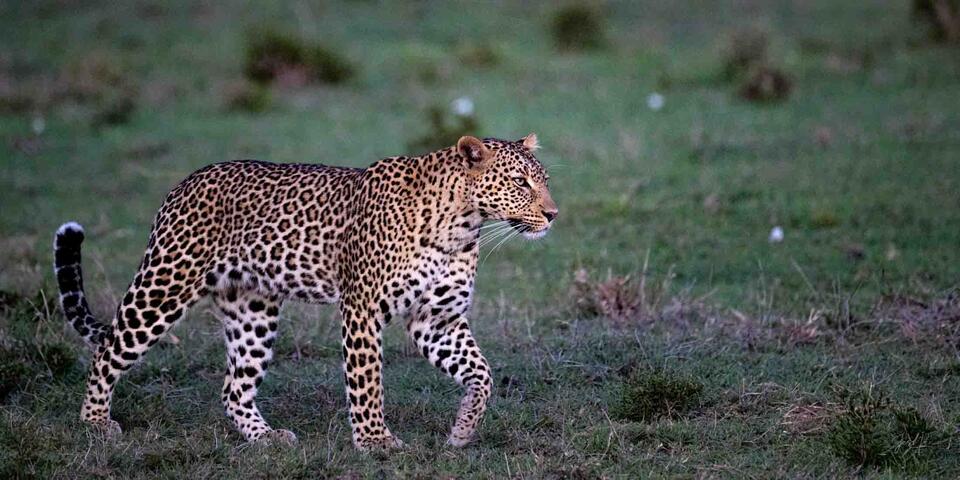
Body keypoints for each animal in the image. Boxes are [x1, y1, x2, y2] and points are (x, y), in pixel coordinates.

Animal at [53, 134, 557, 450]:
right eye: (520, 182)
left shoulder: (438, 319)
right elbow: (367, 381)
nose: (553, 214)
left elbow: (482, 373)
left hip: (252, 311)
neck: (462, 223)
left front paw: (463, 431)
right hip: (166, 283)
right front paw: (376, 442)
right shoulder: (362, 307)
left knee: (234, 388)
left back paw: (267, 439)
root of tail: (184, 183)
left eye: (545, 180)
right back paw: (95, 424)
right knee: (109, 348)